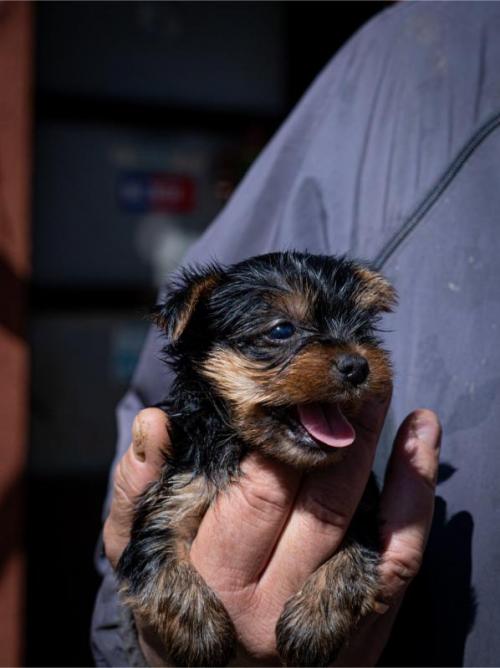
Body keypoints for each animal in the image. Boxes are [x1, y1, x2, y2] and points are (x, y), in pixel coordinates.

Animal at [117, 252, 394, 668]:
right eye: (282, 330)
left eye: (362, 329)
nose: (358, 365)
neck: (247, 446)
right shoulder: (172, 498)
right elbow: (158, 554)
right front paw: (203, 634)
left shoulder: (361, 508)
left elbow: (353, 556)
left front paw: (314, 622)